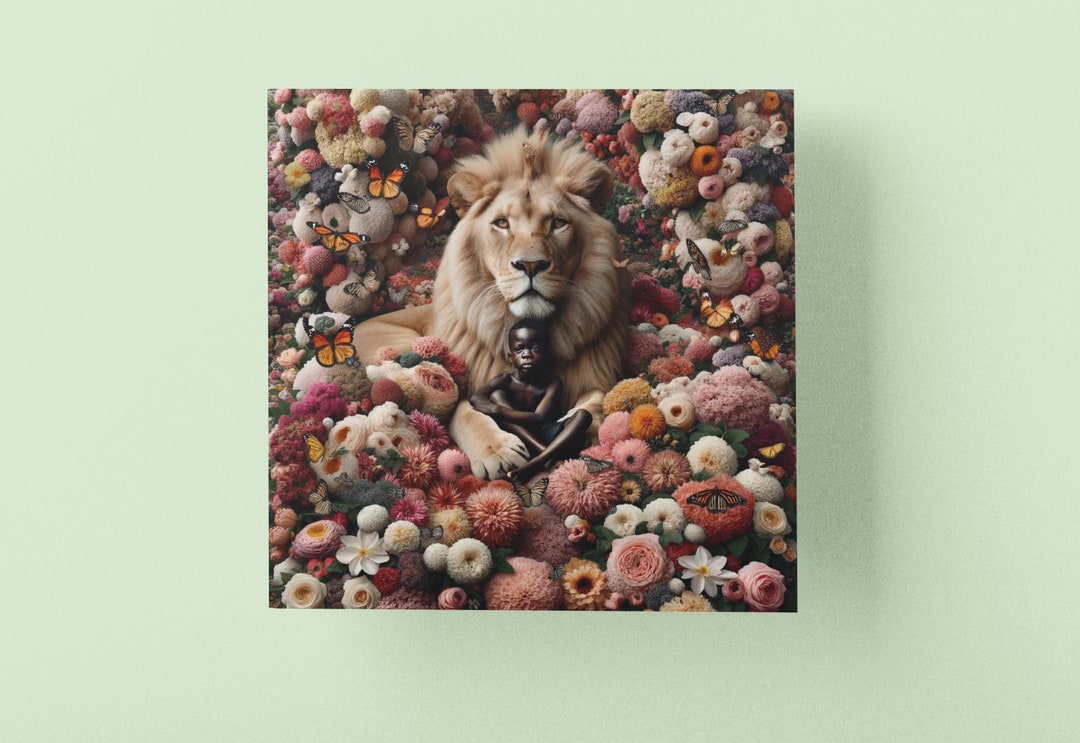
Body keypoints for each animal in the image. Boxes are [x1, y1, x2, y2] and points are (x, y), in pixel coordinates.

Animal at [352, 128, 632, 478]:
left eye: (557, 223)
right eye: (502, 223)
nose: (530, 265)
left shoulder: (597, 377)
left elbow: (594, 402)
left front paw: (586, 431)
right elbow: (464, 410)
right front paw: (497, 449)